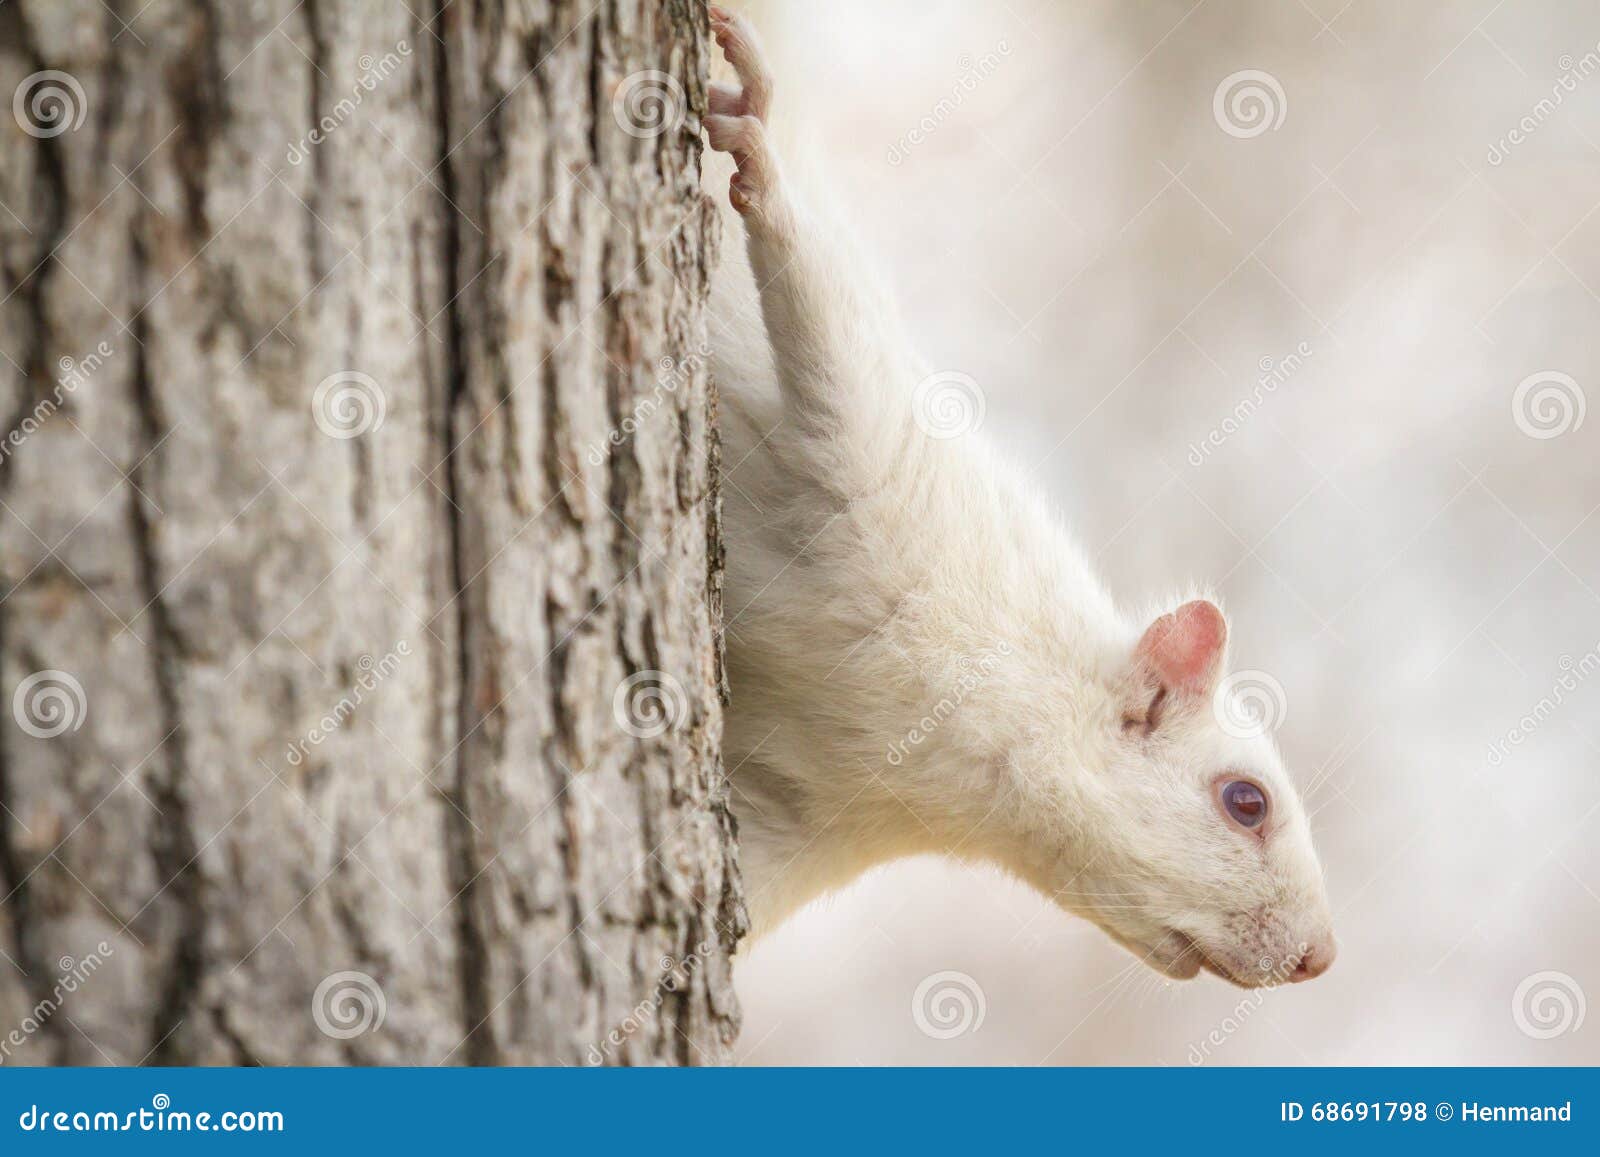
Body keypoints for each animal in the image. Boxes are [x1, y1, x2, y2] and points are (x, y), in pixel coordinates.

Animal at [703, 8, 1334, 987]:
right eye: (1245, 800)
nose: (1321, 956)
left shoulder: (806, 812)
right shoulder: (889, 482)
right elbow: (827, 325)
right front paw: (760, 149)